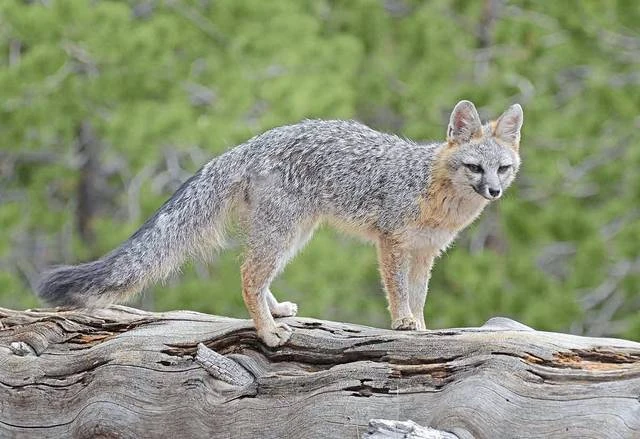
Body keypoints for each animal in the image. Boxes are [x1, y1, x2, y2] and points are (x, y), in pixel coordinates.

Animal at [37, 100, 523, 347]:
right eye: (475, 167)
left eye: (503, 169)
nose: (494, 192)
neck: (432, 189)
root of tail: (248, 144)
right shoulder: (391, 242)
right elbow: (398, 290)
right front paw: (403, 322)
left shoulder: (425, 252)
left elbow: (419, 294)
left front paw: (421, 325)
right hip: (284, 234)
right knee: (248, 276)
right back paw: (268, 331)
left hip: (294, 235)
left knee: (258, 275)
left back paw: (275, 313)